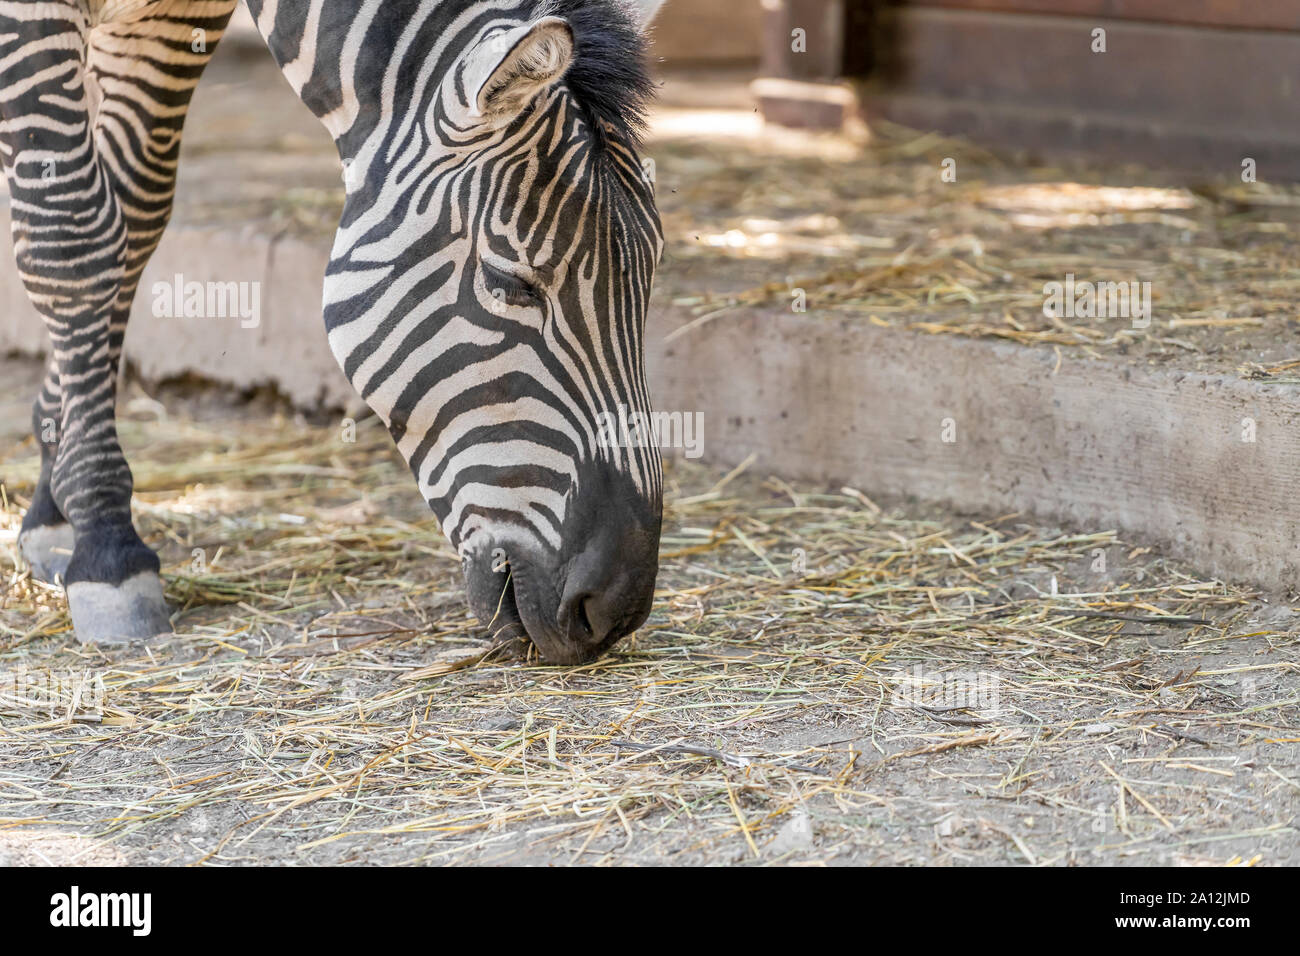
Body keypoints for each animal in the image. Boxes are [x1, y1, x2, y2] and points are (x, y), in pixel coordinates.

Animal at [2, 0, 668, 665]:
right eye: (511, 281)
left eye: (653, 271)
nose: (616, 608)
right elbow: (73, 237)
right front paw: (105, 542)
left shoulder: (174, 19)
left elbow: (132, 216)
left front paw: (58, 490)